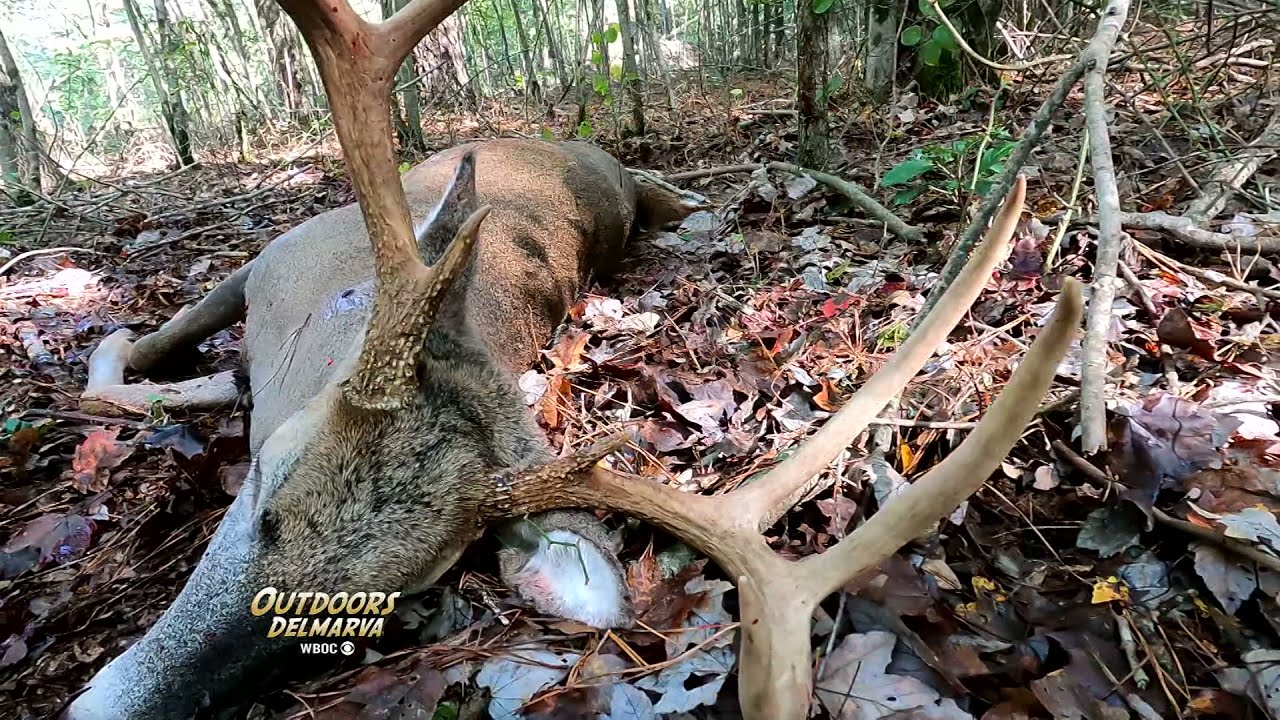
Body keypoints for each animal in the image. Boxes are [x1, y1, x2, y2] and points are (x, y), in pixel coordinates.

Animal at [61, 0, 1085, 718]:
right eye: (265, 505)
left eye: (384, 606)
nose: (107, 710)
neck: (313, 330)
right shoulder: (265, 260)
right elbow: (148, 357)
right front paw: (133, 349)